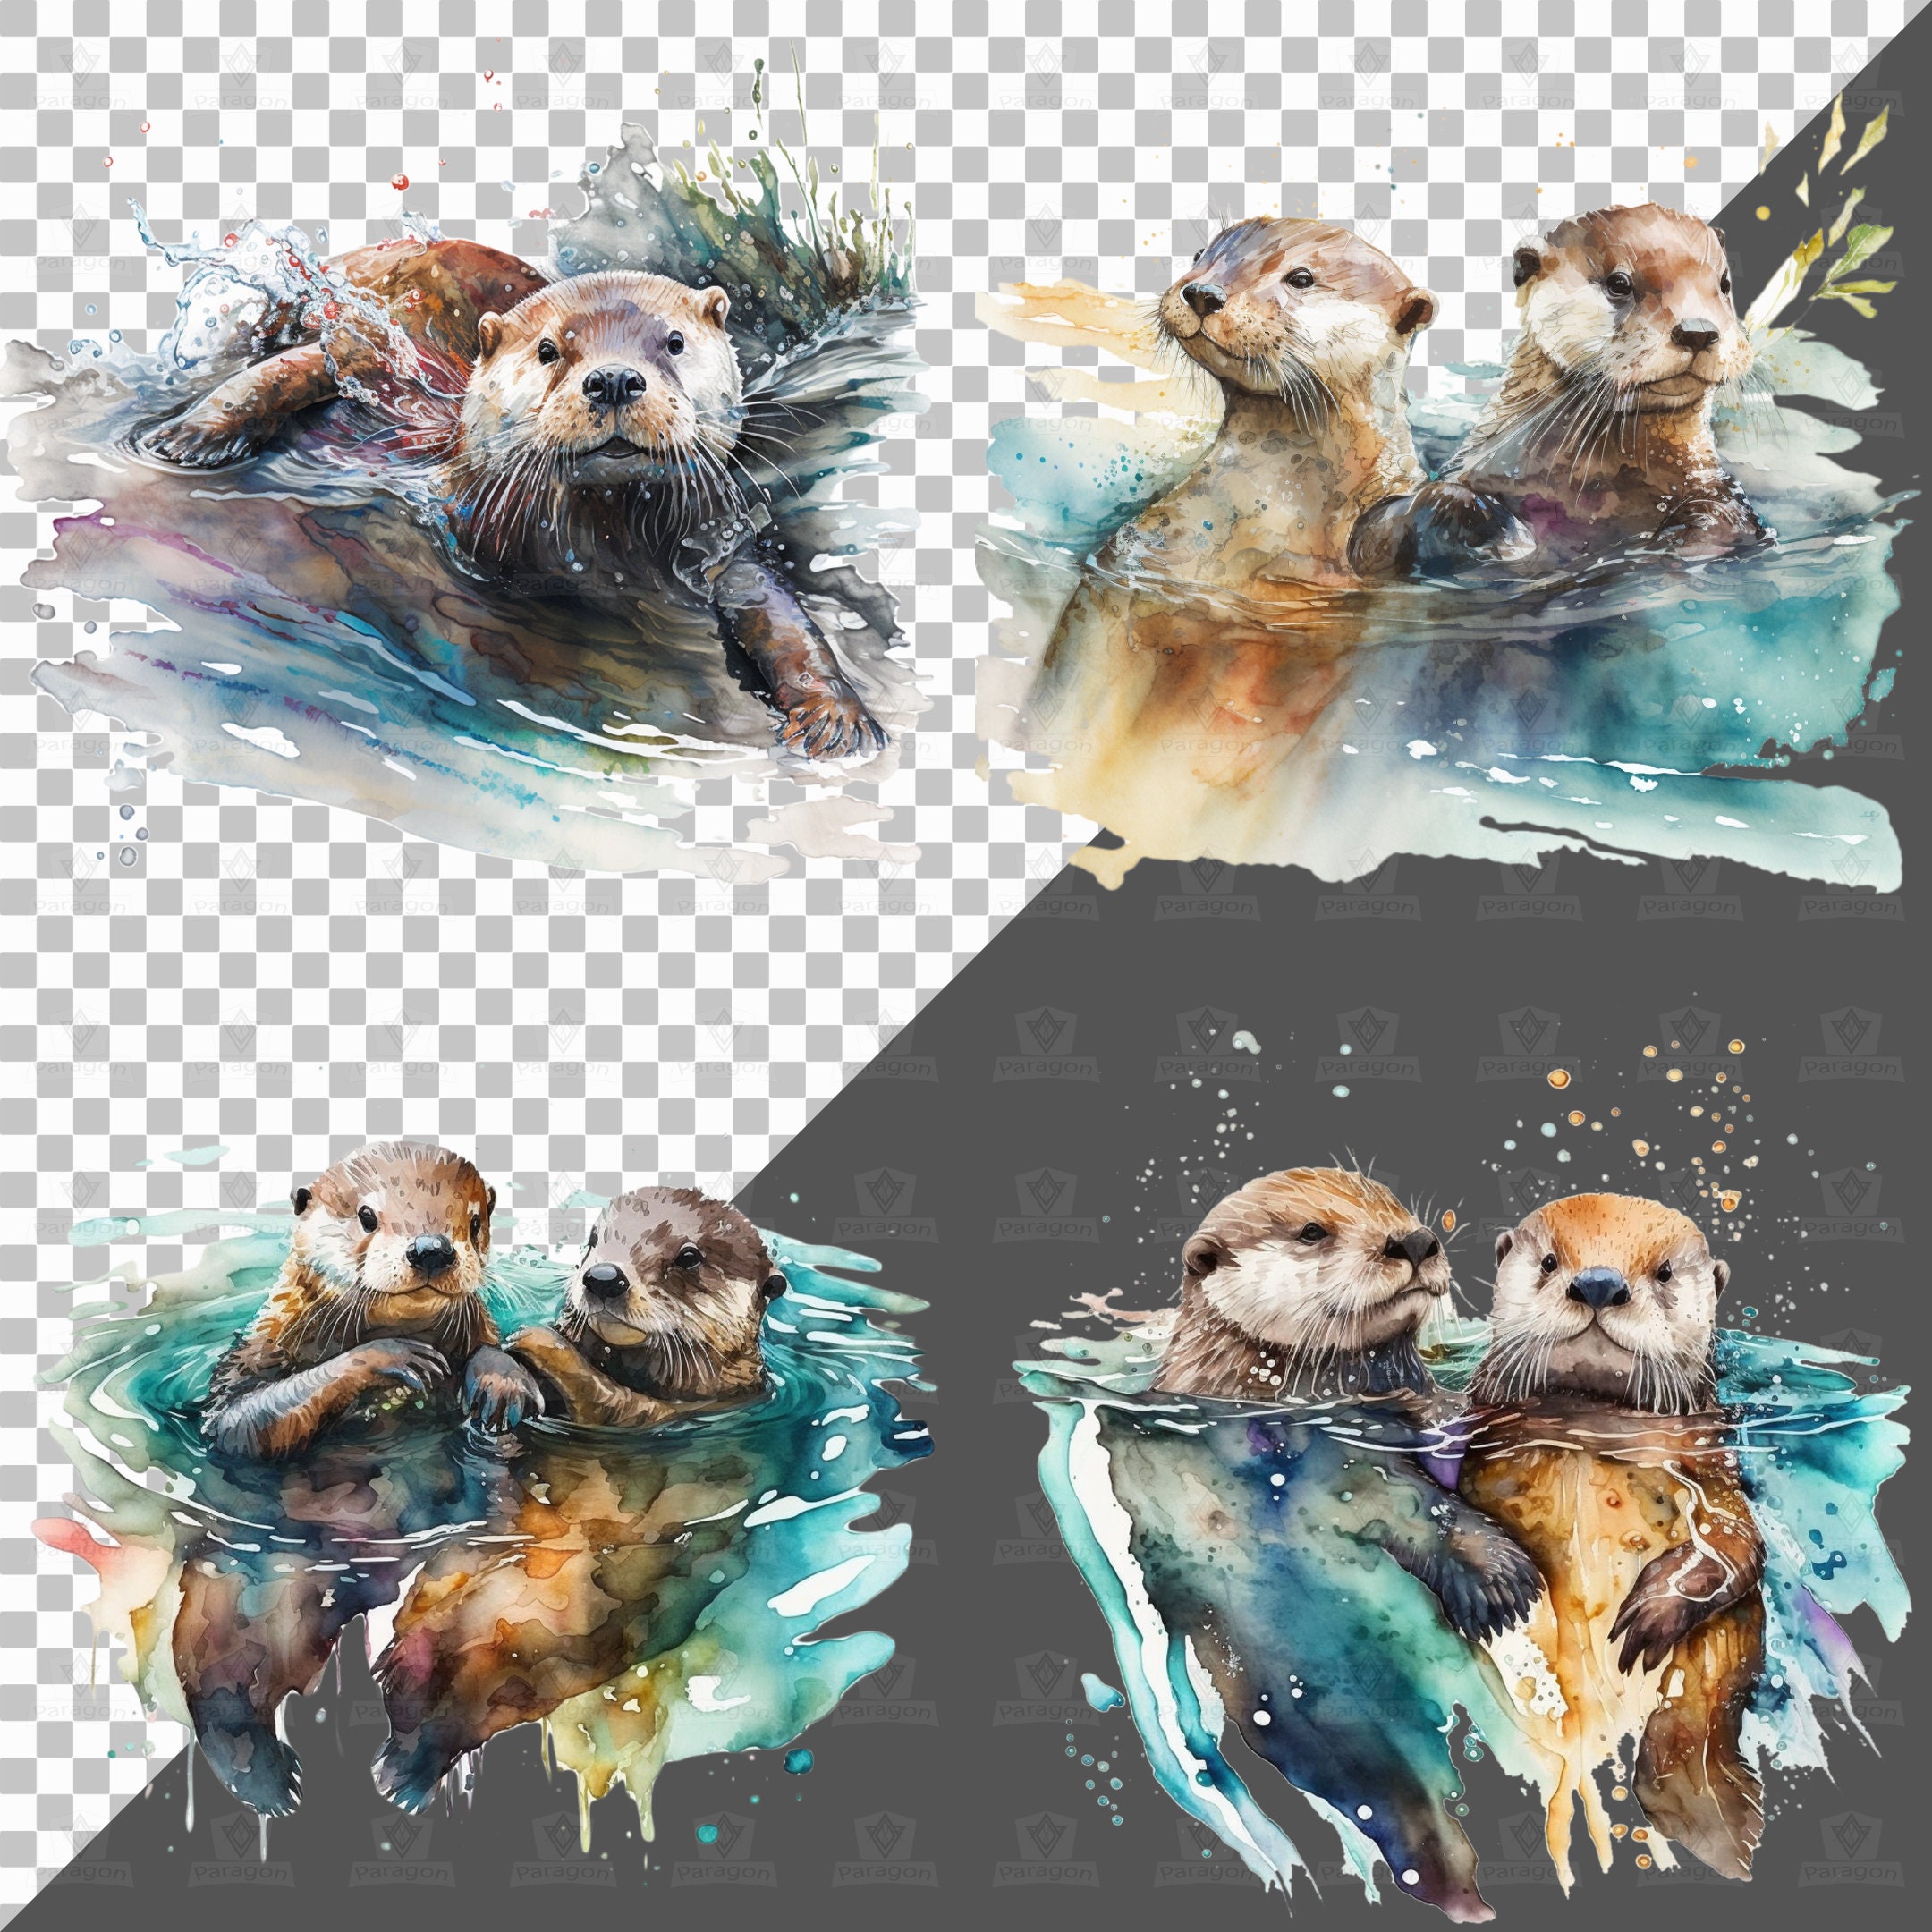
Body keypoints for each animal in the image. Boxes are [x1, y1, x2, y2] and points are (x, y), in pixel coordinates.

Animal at [140, 236, 883, 758]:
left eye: (673, 342)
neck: (600, 548)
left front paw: (835, 717)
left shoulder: (715, 537)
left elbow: (778, 614)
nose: (614, 379)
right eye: (551, 349)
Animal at [201, 1141, 542, 1459]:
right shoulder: (259, 1349)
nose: (431, 1248)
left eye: (475, 1223)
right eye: (366, 1216)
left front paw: (501, 1377)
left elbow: (489, 1345)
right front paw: (389, 1354)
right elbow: (240, 1422)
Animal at [505, 1185, 785, 1427]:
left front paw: (543, 1343)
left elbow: (619, 1405)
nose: (604, 1277)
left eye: (689, 1257)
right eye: (594, 1239)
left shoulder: (685, 1411)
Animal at [1355, 204, 1765, 575]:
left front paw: (1688, 534)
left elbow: (1732, 519)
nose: (1698, 330)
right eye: (1619, 283)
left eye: (1724, 284)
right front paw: (1506, 534)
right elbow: (1378, 531)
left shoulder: (1713, 485)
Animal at [1459, 1192, 1765, 1885]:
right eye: (1549, 1261)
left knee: (1690, 1722)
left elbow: (1739, 1543)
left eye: (1665, 1272)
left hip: (1722, 1651)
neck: (1590, 1425)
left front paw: (1654, 1608)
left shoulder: (1714, 1466)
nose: (1599, 1283)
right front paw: (1493, 1573)